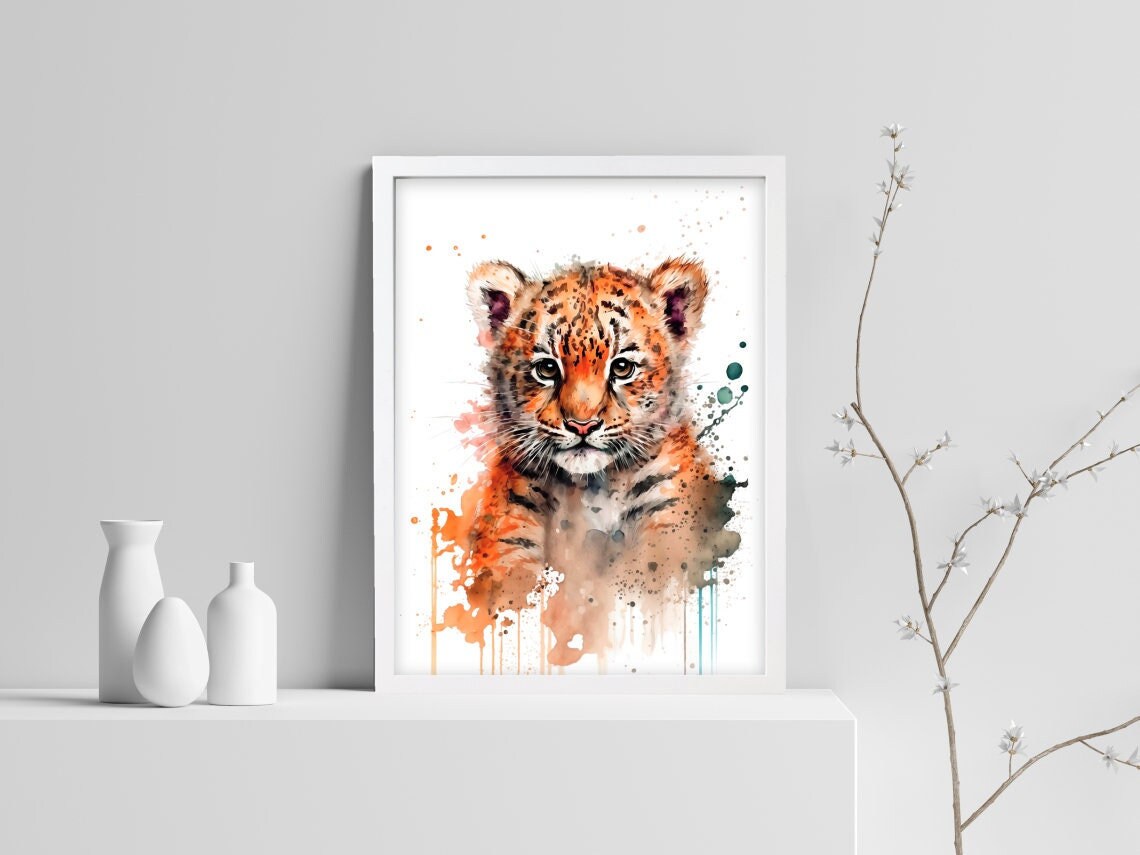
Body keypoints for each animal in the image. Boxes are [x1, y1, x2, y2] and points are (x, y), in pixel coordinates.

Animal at [445, 257, 741, 667]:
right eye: (547, 369)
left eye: (622, 368)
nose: (581, 425)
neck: (589, 489)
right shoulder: (507, 539)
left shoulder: (672, 531)